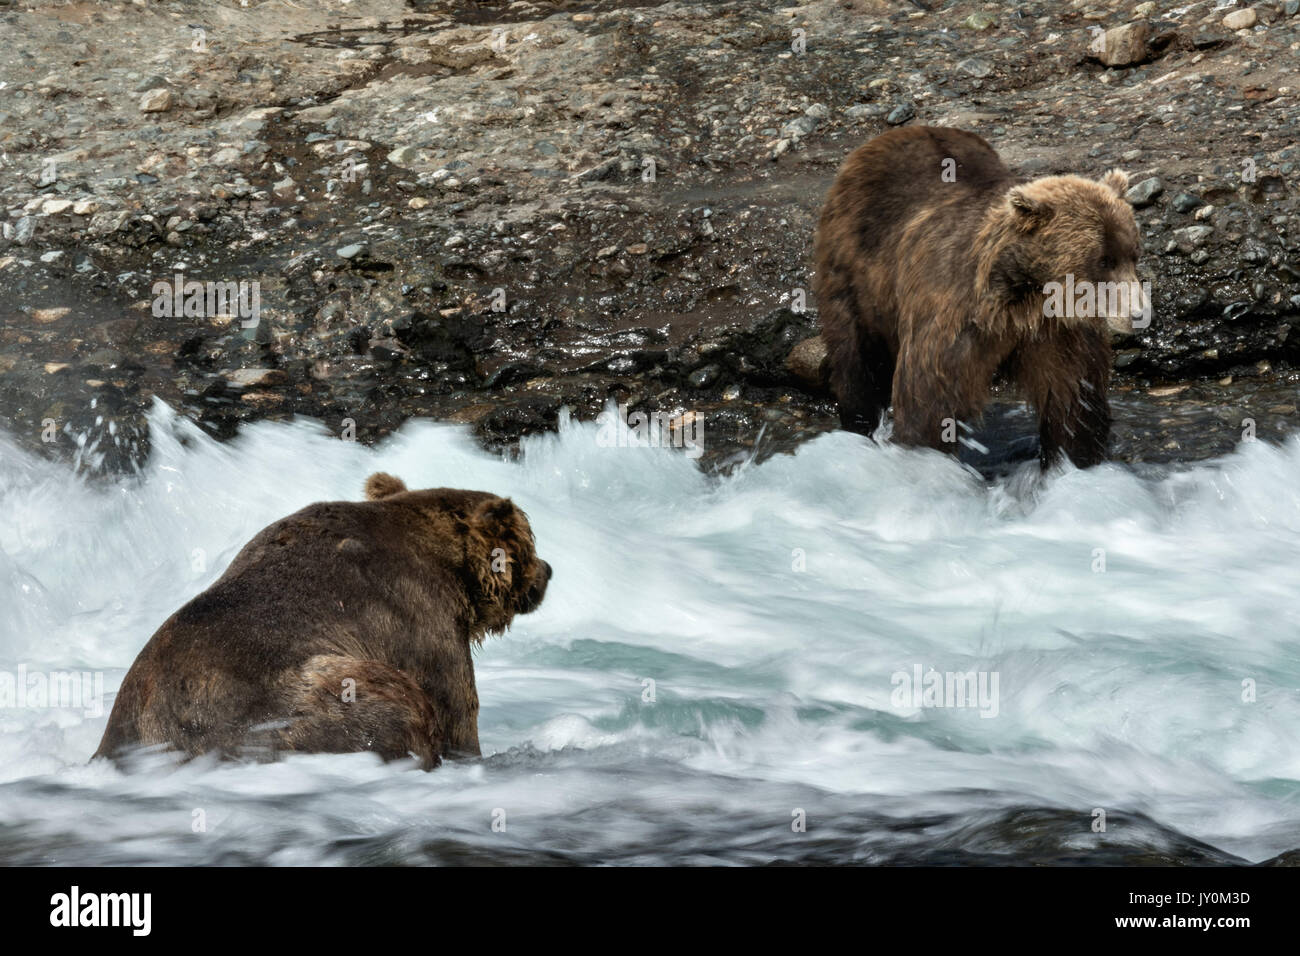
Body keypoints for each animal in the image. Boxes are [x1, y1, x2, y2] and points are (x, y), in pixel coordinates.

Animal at [93, 473, 551, 770]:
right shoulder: (420, 616)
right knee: (393, 701)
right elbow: (454, 706)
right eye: (530, 539)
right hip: (290, 702)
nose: (547, 571)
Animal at [813, 126, 1146, 468]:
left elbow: (1073, 402)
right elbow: (929, 402)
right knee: (856, 358)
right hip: (853, 270)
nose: (1138, 314)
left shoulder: (1056, 333)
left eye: (1133, 254)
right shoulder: (951, 316)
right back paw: (858, 424)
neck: (1018, 301)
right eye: (1103, 261)